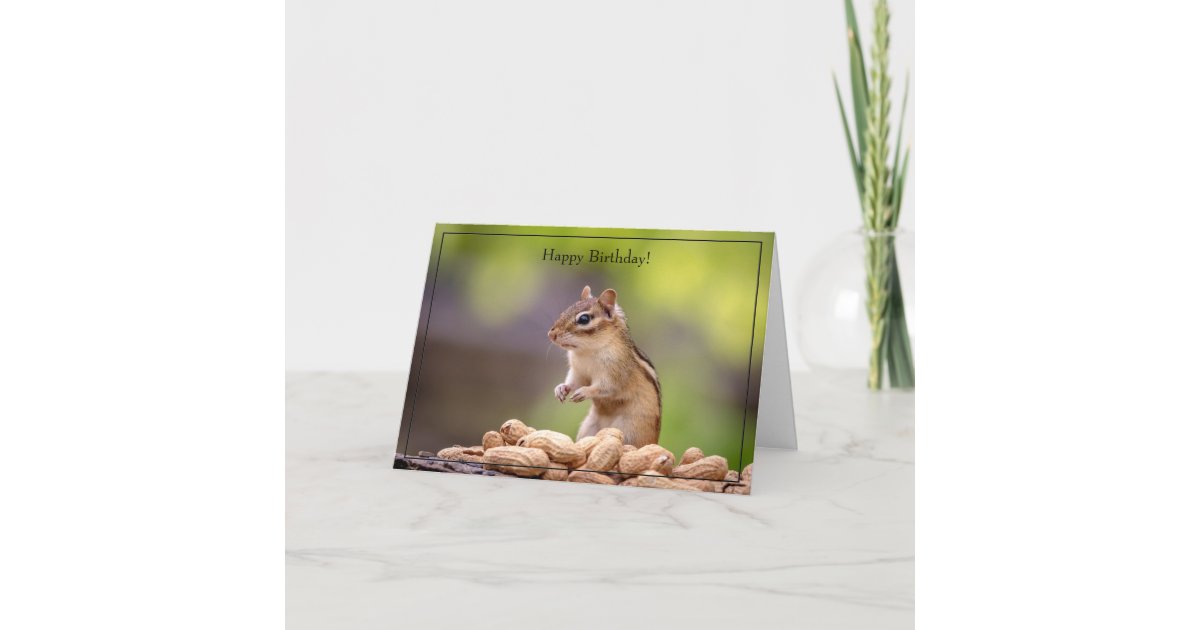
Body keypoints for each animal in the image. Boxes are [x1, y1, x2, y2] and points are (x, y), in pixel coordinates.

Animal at [547, 285, 662, 447]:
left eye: (584, 319)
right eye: (564, 311)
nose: (551, 335)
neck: (587, 351)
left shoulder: (615, 372)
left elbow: (606, 387)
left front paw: (584, 392)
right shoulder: (578, 371)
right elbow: (574, 382)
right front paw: (561, 388)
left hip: (630, 430)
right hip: (588, 428)